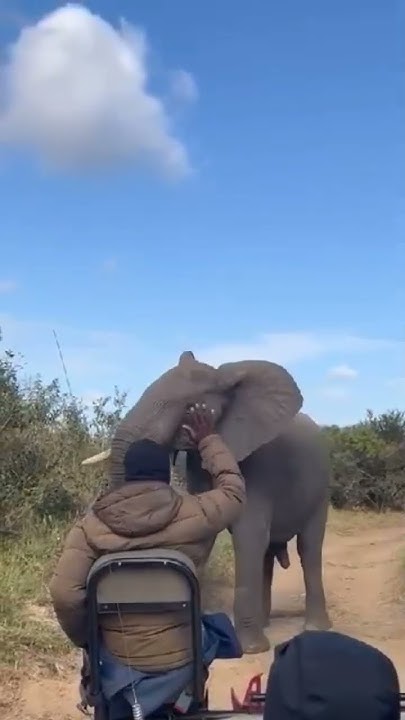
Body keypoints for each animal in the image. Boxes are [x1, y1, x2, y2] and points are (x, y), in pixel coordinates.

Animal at [82, 350, 331, 654]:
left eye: (186, 406)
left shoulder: (258, 464)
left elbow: (249, 536)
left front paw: (251, 648)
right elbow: (205, 524)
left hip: (321, 489)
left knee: (309, 547)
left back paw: (315, 628)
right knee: (268, 556)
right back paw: (266, 623)